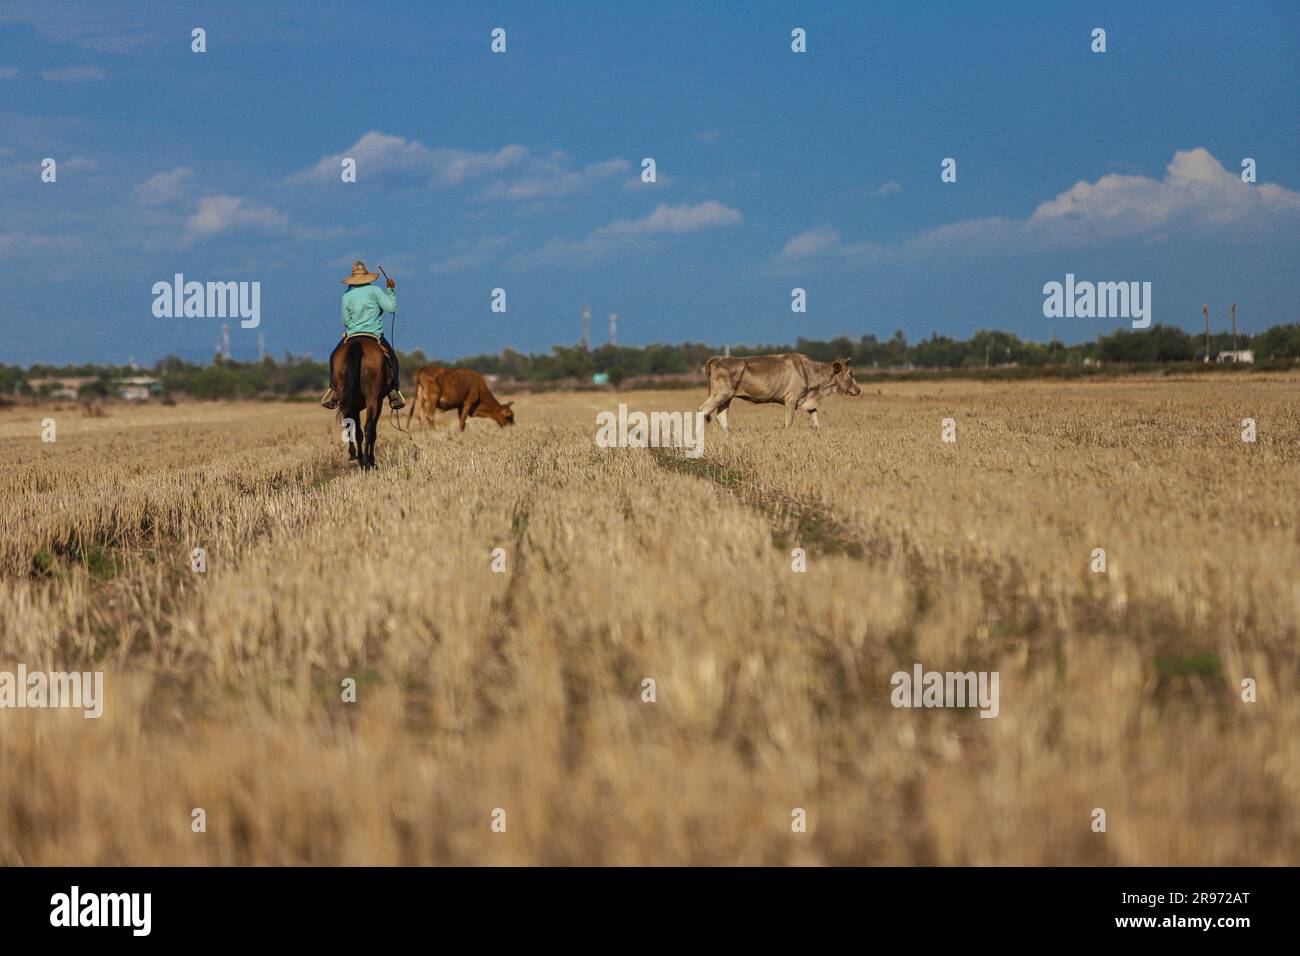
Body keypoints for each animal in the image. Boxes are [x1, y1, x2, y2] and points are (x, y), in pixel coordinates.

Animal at [699, 352, 861, 431]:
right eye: (850, 373)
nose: (858, 390)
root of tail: (720, 358)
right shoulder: (791, 398)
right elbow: (789, 421)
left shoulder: (806, 399)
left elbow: (815, 416)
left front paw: (818, 431)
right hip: (720, 394)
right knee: (702, 411)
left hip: (727, 397)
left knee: (721, 417)